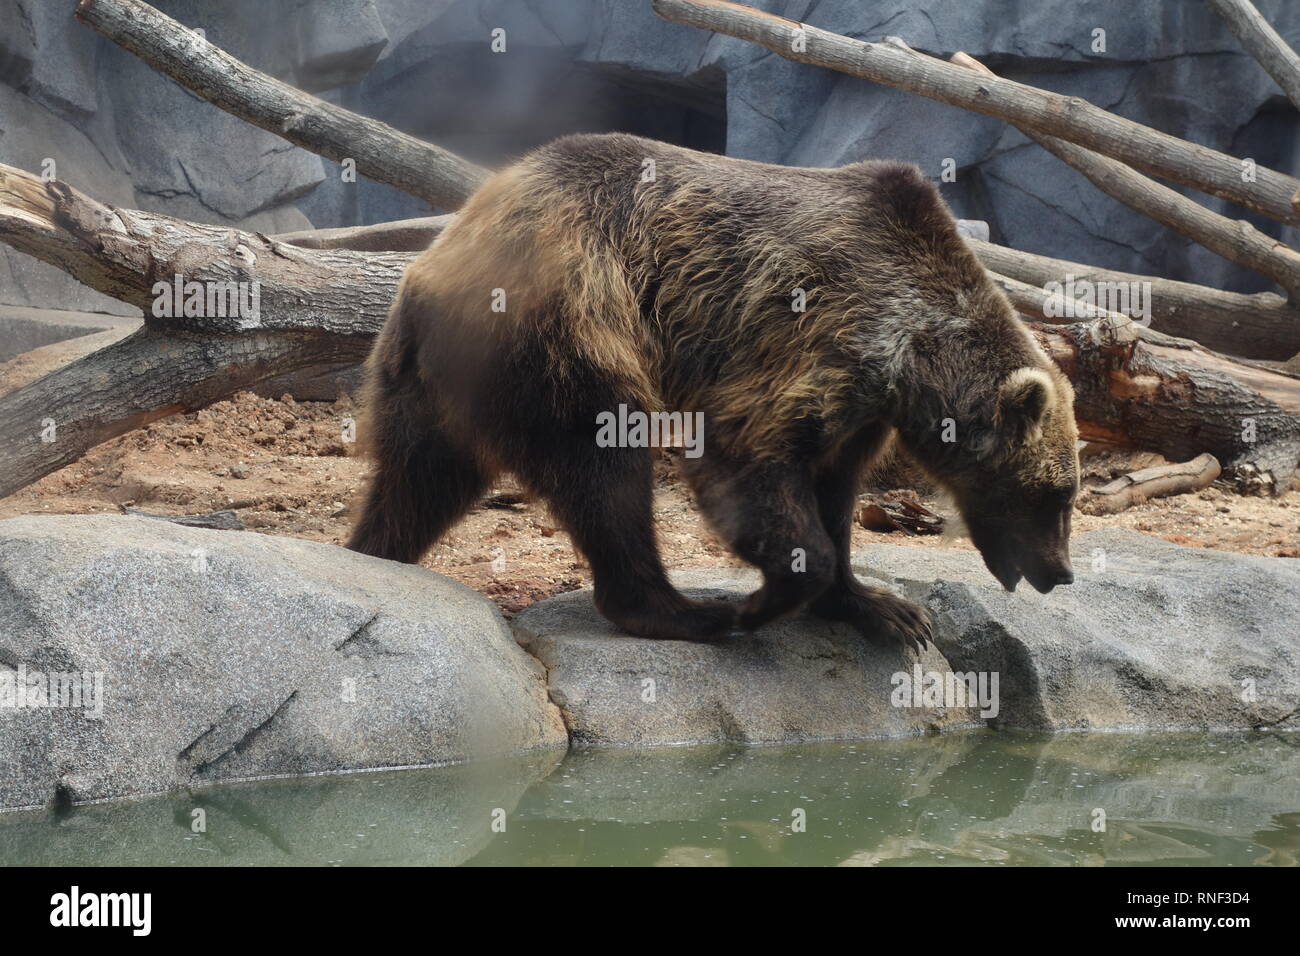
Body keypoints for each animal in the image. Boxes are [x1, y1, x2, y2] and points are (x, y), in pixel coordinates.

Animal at [347, 132, 1080, 648]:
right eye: (1055, 494)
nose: (1061, 573)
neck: (913, 350)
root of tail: (440, 258)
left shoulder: (864, 407)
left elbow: (836, 490)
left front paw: (886, 609)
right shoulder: (813, 332)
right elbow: (748, 457)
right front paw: (762, 602)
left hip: (431, 387)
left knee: (415, 486)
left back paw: (374, 556)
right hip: (566, 328)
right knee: (603, 466)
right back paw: (684, 610)